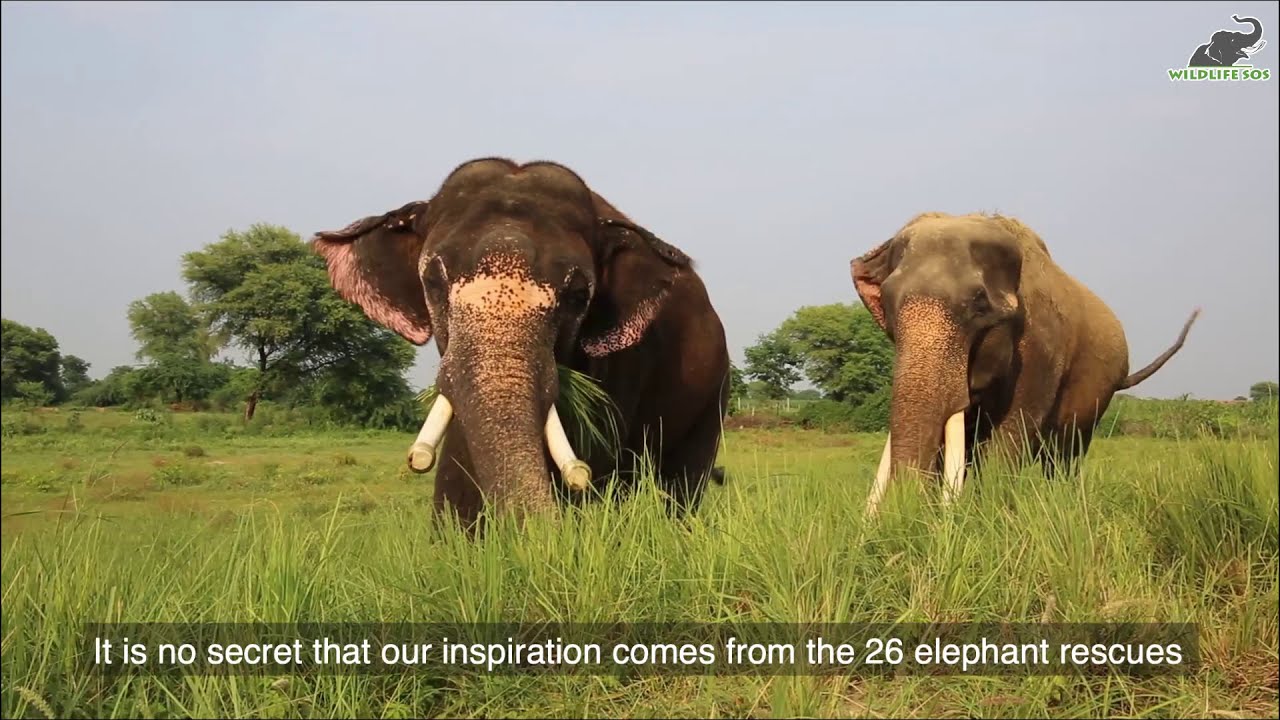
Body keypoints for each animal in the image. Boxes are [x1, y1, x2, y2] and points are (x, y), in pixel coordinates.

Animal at [310, 157, 731, 530]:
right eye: (432, 281)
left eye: (579, 296)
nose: (415, 461)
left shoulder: (626, 365)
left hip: (713, 395)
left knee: (681, 484)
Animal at [849, 211, 1200, 515]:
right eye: (887, 302)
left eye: (979, 305)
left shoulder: (1042, 349)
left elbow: (1010, 435)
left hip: (1097, 395)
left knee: (1064, 456)